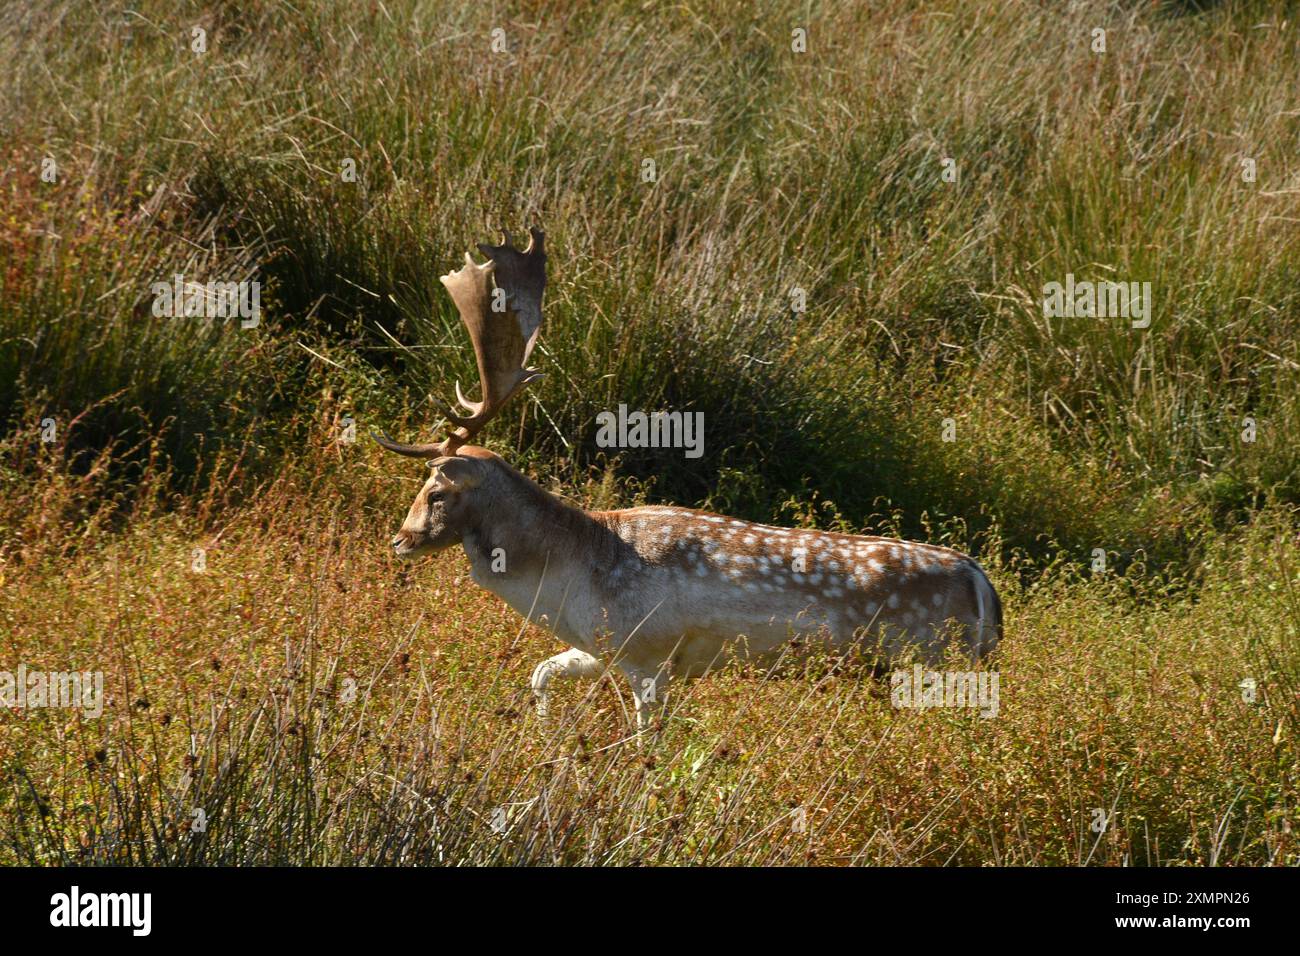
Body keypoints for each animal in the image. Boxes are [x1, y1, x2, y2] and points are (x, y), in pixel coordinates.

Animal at [375, 228, 1003, 730]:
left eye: (436, 490)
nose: (399, 541)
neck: (567, 581)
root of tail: (985, 590)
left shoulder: (648, 653)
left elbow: (646, 738)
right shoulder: (604, 649)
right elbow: (541, 673)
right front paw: (544, 729)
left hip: (932, 662)